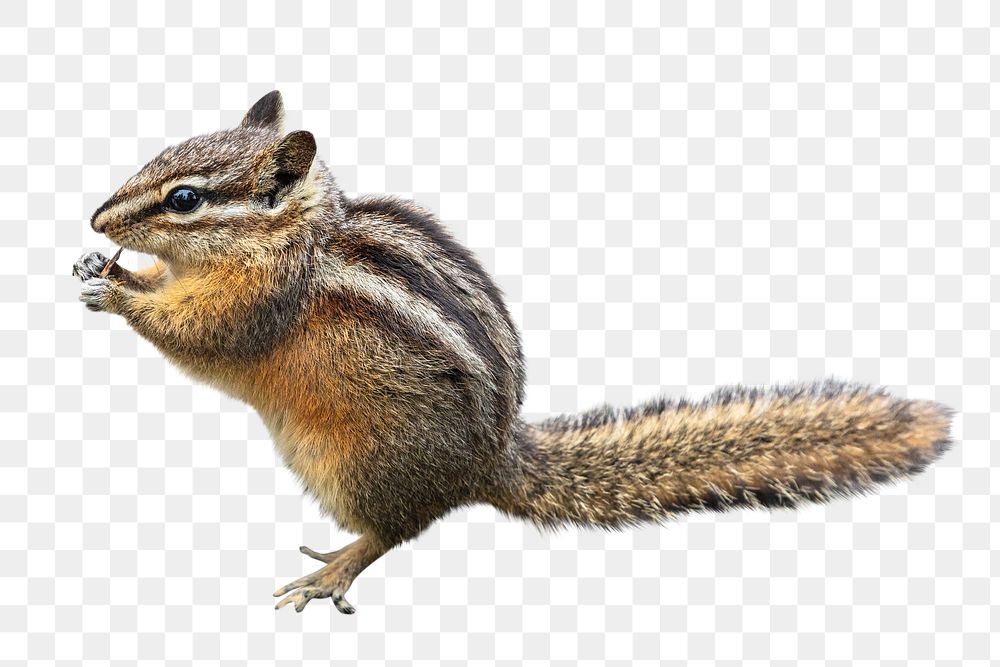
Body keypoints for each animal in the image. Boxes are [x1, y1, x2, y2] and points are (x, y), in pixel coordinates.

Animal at [74, 91, 953, 614]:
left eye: (185, 198)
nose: (95, 218)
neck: (303, 237)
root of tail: (490, 460)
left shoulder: (257, 306)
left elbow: (199, 335)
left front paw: (118, 291)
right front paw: (103, 267)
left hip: (352, 461)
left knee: (397, 529)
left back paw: (336, 567)